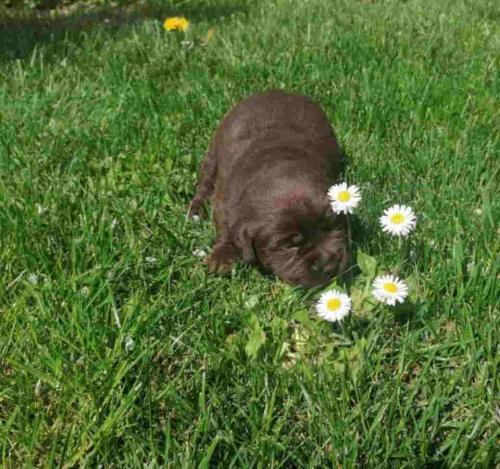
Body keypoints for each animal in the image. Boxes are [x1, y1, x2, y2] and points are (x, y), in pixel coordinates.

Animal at [189, 88, 350, 286]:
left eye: (333, 225)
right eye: (289, 245)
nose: (329, 266)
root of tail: (276, 91)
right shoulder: (224, 203)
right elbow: (225, 228)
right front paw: (222, 257)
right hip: (214, 151)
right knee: (204, 183)